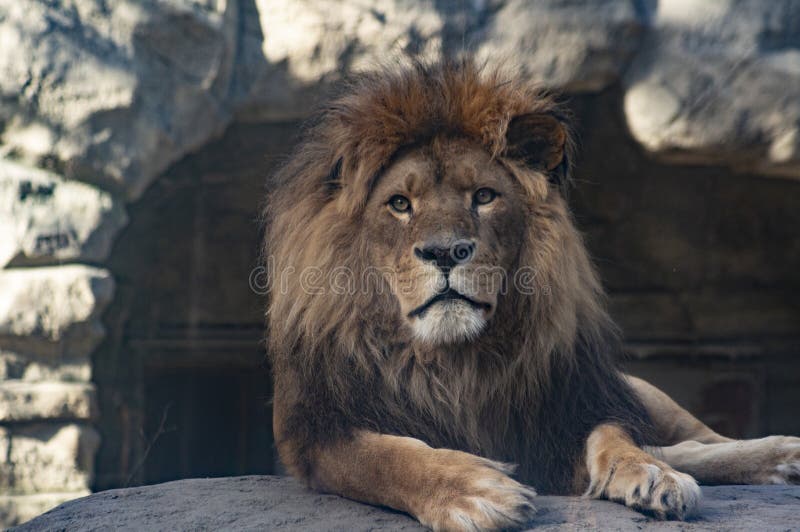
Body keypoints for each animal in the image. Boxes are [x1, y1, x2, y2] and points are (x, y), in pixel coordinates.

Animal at [263, 59, 800, 531]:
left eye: (483, 196)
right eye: (399, 204)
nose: (445, 251)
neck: (452, 361)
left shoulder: (577, 402)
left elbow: (617, 436)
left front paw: (651, 475)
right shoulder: (314, 433)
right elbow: (384, 457)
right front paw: (476, 490)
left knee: (693, 440)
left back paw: (781, 455)